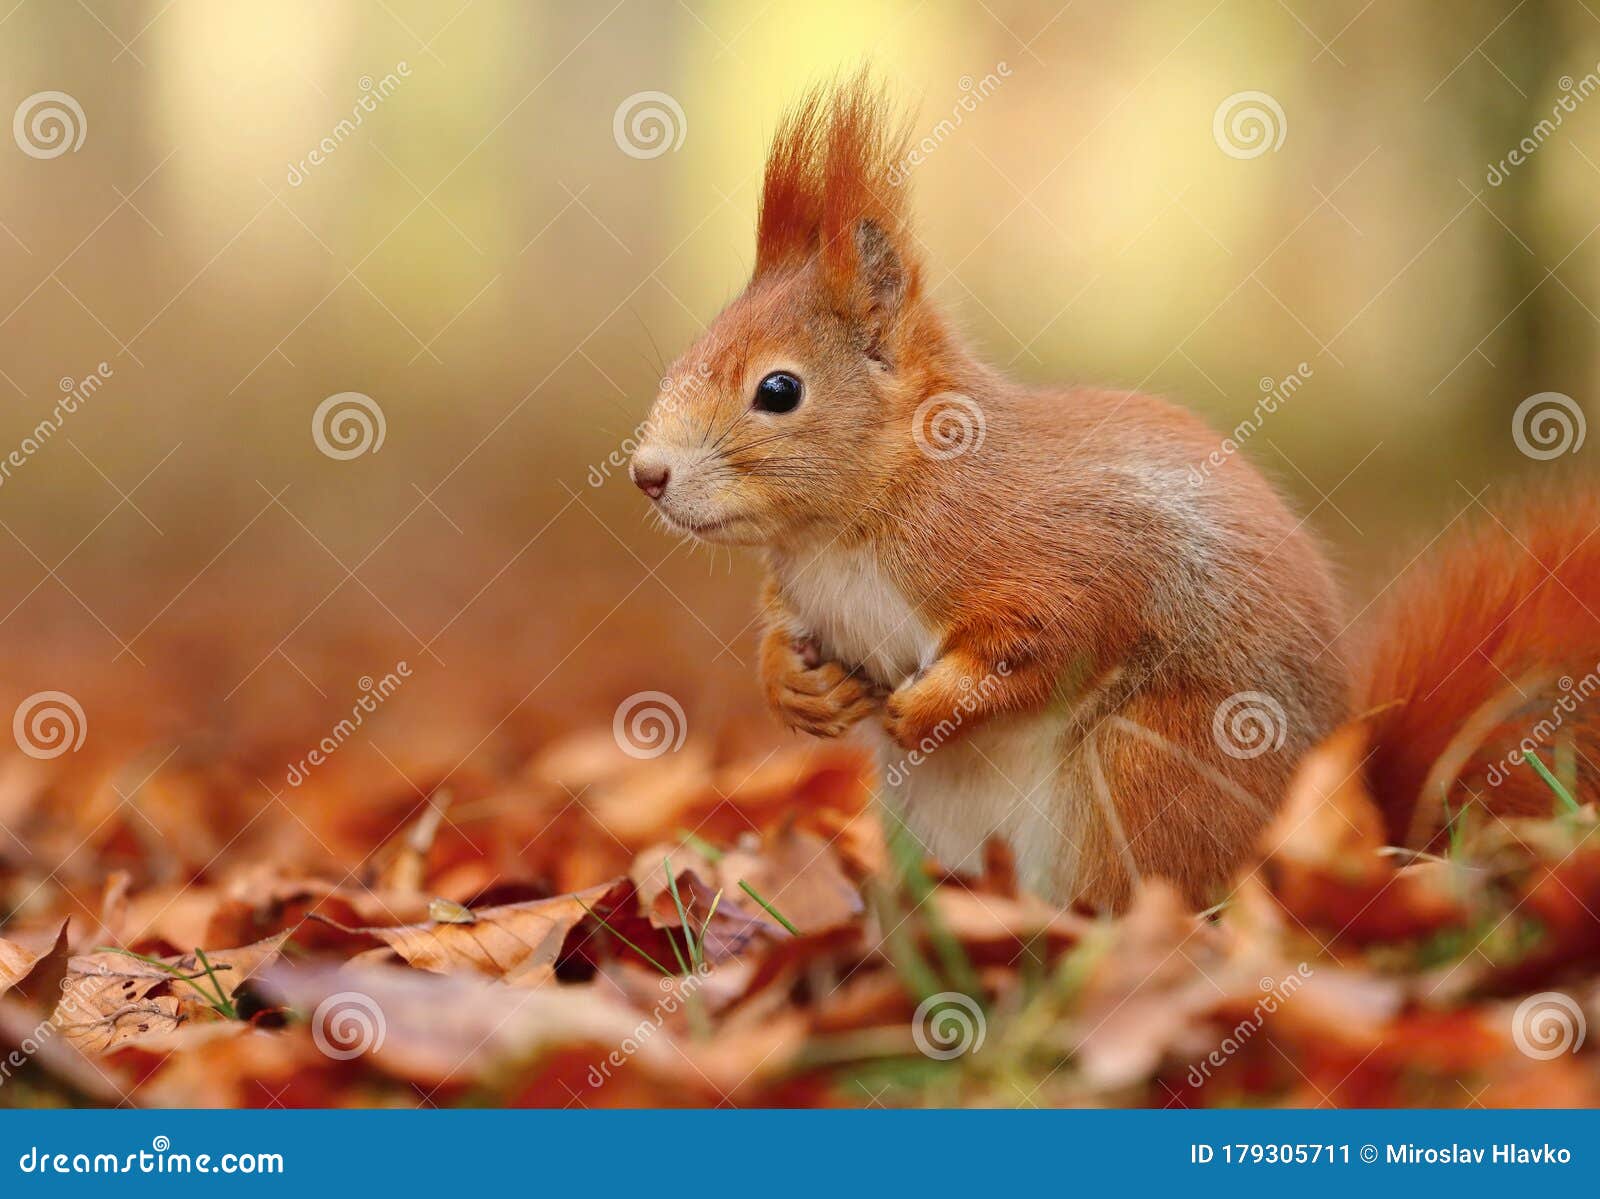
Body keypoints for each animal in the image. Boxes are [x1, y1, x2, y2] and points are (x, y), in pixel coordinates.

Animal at [629, 77, 1600, 911]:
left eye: (779, 390)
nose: (648, 473)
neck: (850, 524)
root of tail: (1340, 833)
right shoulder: (803, 592)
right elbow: (779, 640)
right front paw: (800, 690)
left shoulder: (1058, 553)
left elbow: (1045, 639)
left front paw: (925, 706)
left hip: (1146, 769)